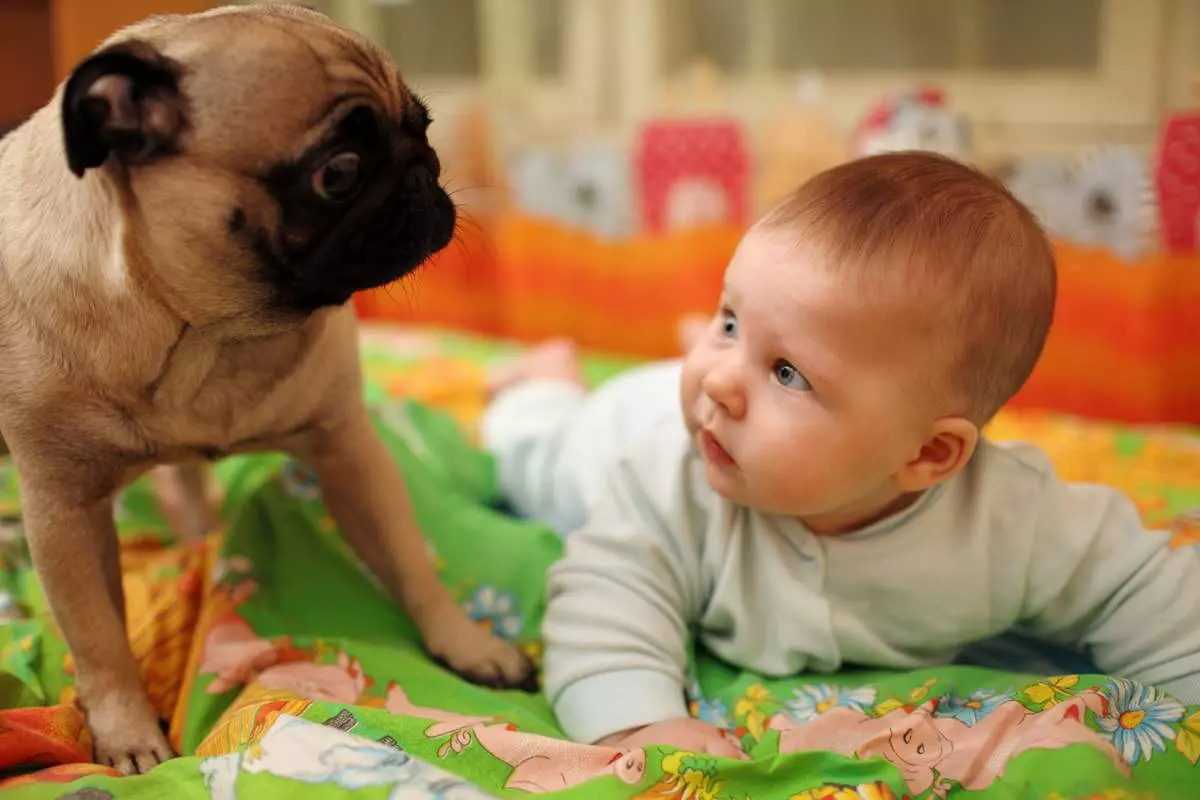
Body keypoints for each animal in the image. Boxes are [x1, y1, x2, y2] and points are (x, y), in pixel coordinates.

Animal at [0, 3, 530, 772]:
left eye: (424, 126)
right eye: (337, 173)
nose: (424, 172)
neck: (207, 336)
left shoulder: (350, 452)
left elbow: (409, 560)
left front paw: (466, 644)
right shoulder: (64, 513)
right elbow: (98, 639)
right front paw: (127, 733)